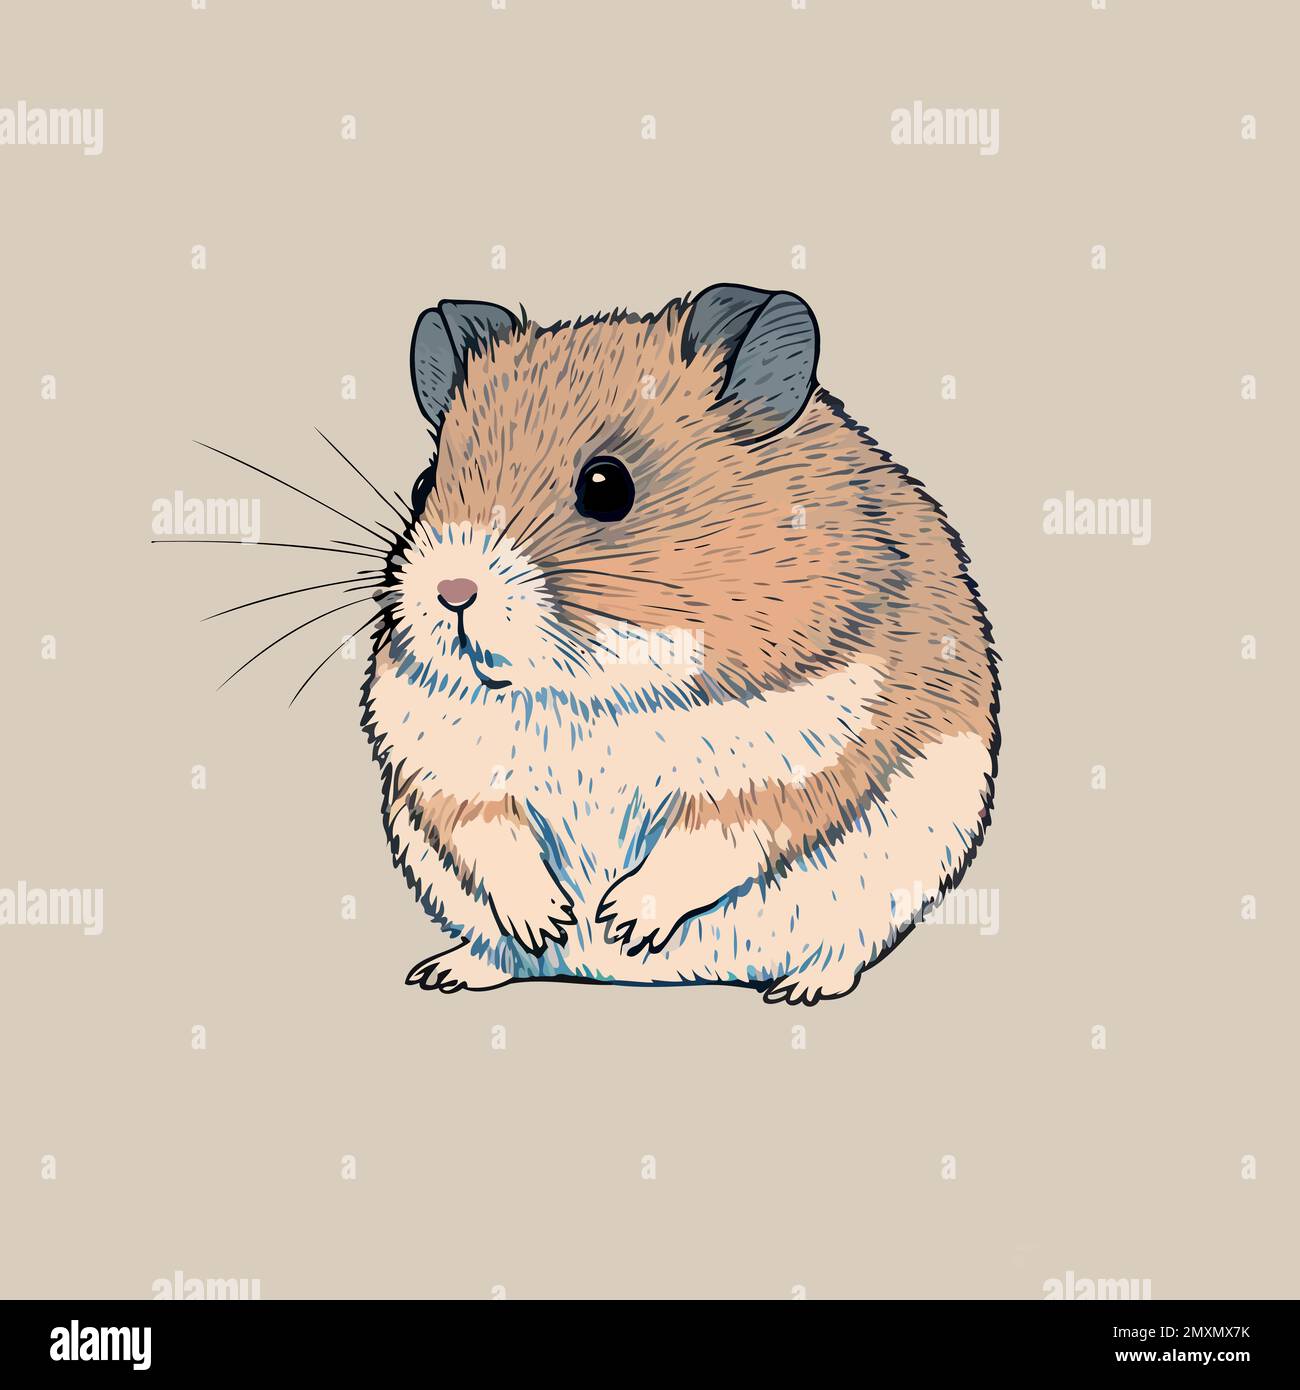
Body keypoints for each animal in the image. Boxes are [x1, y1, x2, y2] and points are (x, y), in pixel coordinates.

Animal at [361, 285, 1000, 1004]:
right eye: (424, 485)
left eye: (606, 486)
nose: (452, 592)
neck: (593, 690)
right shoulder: (443, 766)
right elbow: (489, 834)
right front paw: (554, 919)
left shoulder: (792, 765)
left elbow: (715, 839)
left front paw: (621, 920)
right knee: (501, 950)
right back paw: (449, 971)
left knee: (842, 950)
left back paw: (788, 986)